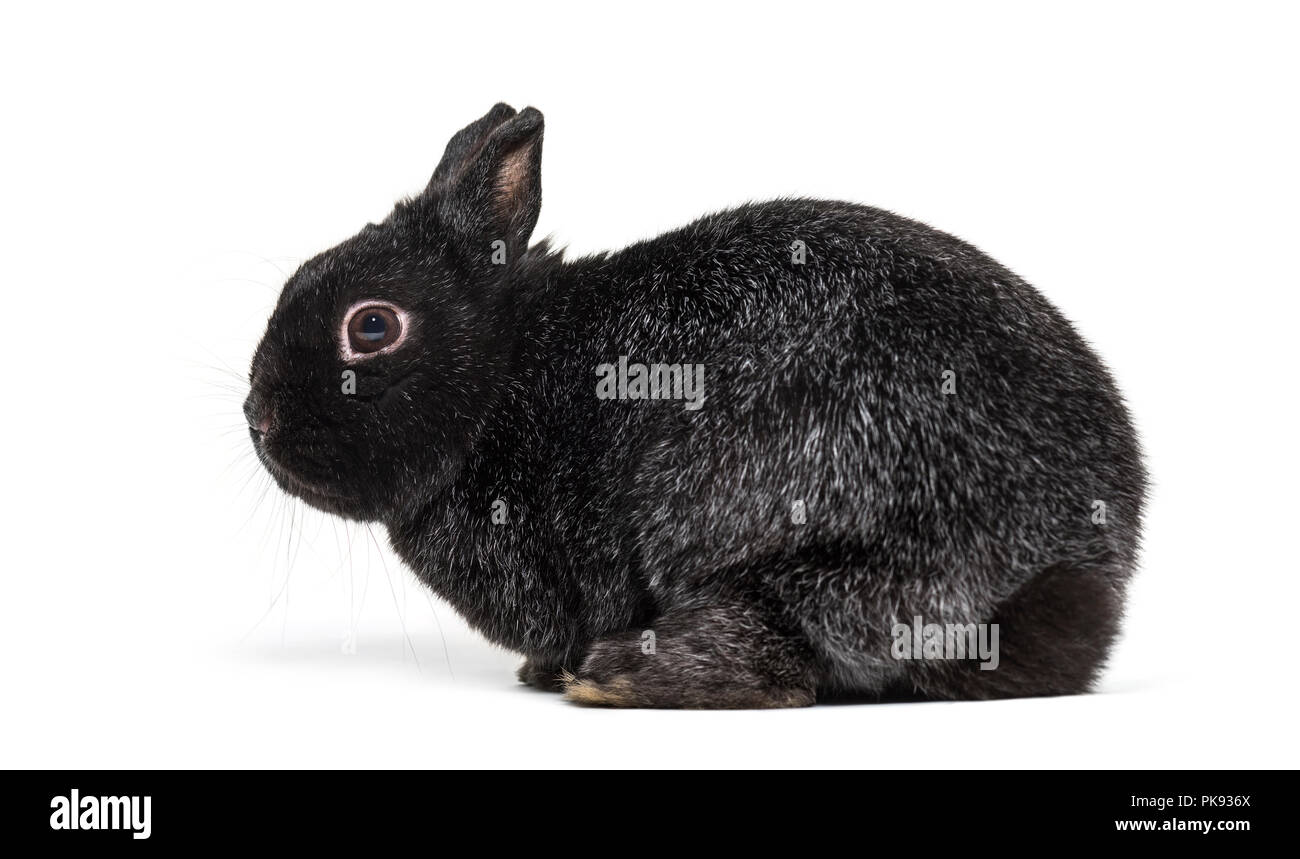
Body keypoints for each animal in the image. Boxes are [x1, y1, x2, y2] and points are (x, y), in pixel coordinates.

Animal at [244, 103, 1147, 708]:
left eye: (372, 325)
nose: (259, 415)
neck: (508, 373)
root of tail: (1073, 554)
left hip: (761, 503)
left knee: (784, 648)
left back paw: (613, 675)